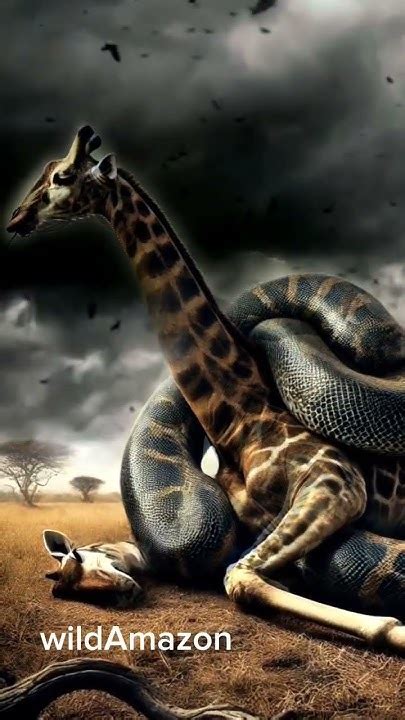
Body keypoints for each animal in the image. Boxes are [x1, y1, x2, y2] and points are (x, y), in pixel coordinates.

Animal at [6, 126, 405, 650]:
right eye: (68, 583)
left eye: (63, 176)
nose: (16, 217)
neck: (241, 415)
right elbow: (246, 572)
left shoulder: (336, 484)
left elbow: (241, 576)